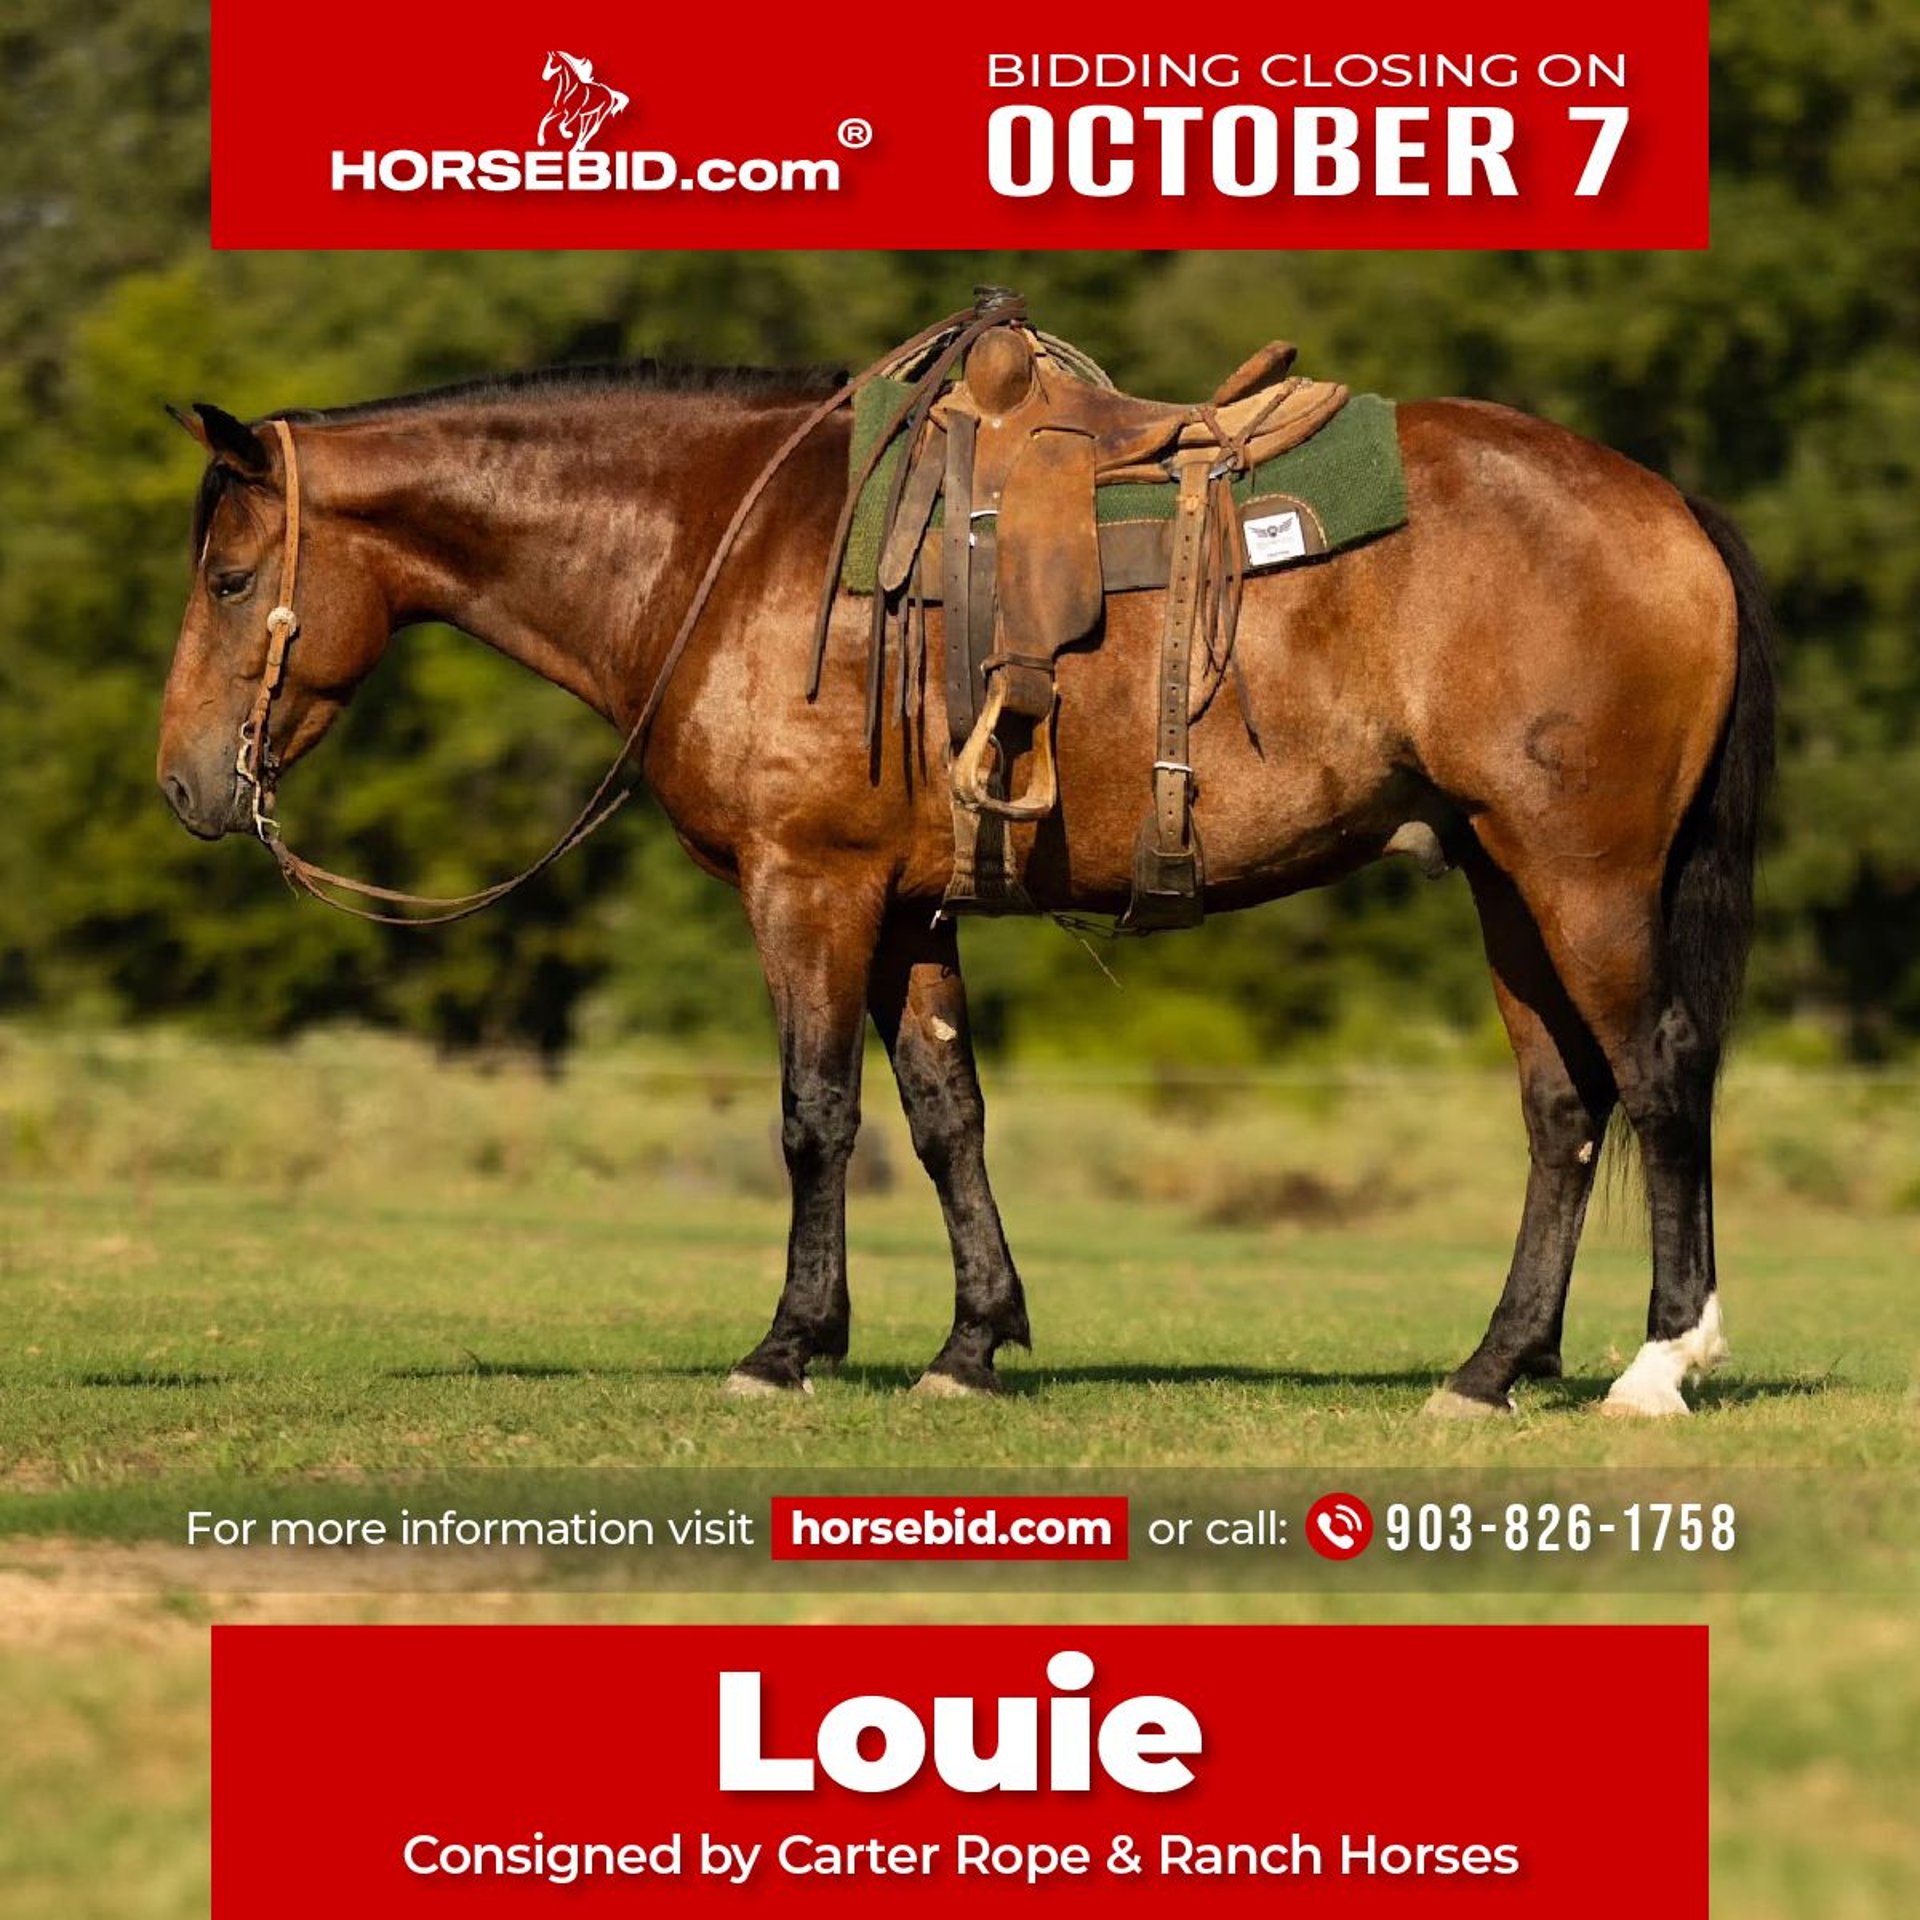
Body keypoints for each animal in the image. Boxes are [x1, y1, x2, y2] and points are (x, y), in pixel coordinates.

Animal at [155, 338, 1775, 1419]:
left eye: (230, 580)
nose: (184, 786)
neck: (730, 541)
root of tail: (1668, 506)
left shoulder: (807, 890)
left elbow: (816, 1118)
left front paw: (788, 1348)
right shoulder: (908, 909)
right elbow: (947, 1120)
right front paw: (972, 1346)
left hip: (1581, 873)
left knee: (1658, 1072)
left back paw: (1660, 1362)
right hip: (1503, 879)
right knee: (1564, 1110)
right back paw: (1491, 1368)